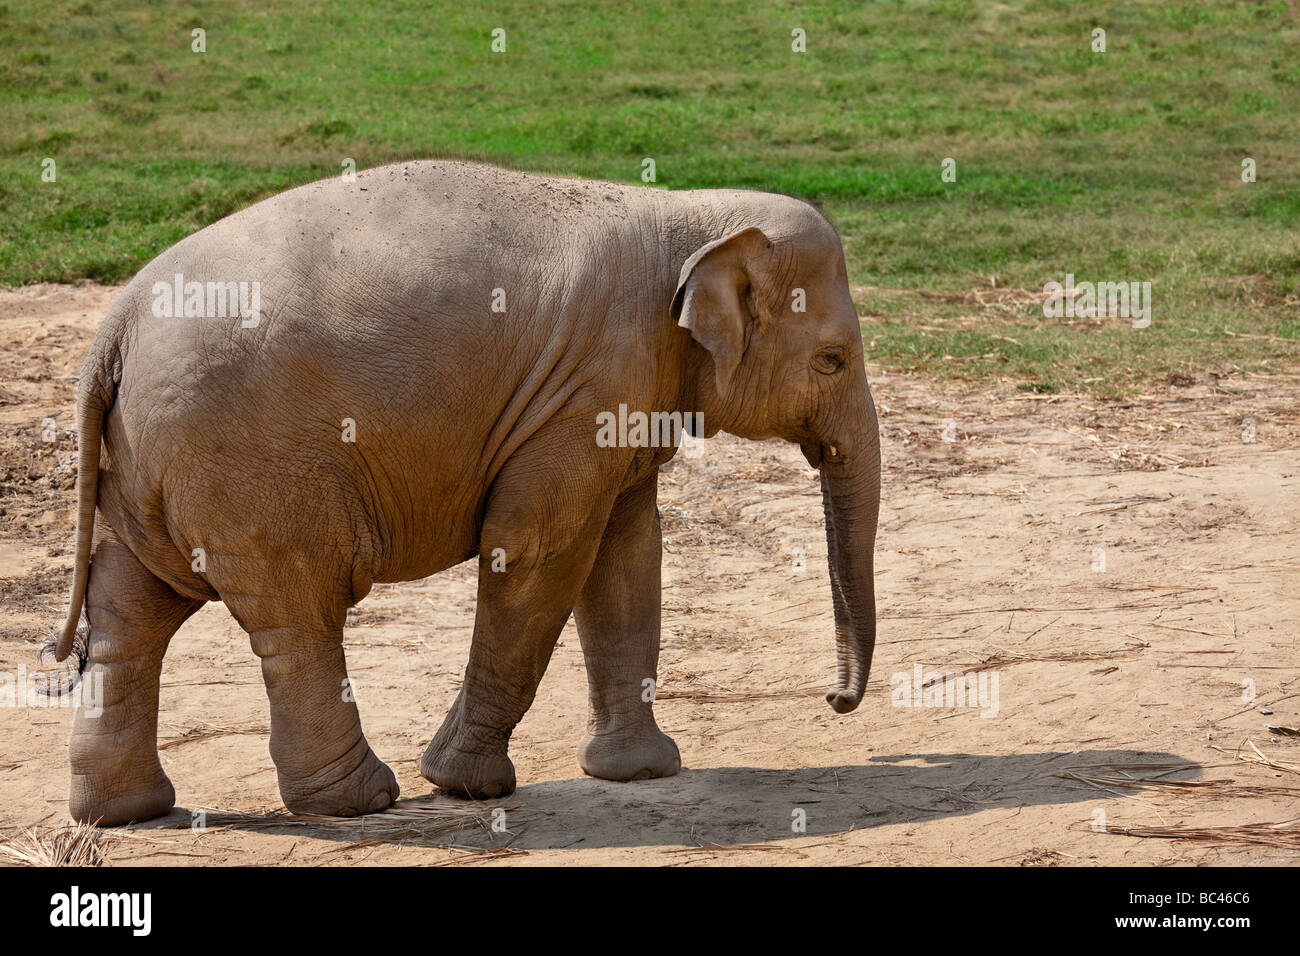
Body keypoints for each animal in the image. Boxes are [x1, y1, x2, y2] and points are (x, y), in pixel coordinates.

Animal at [51, 160, 881, 825]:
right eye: (833, 360)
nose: (835, 702)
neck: (687, 216)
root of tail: (115, 327)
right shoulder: (584, 393)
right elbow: (540, 551)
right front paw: (466, 785)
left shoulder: (613, 399)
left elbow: (627, 553)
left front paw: (642, 772)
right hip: (250, 468)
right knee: (299, 614)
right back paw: (362, 800)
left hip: (145, 468)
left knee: (132, 615)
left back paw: (126, 812)